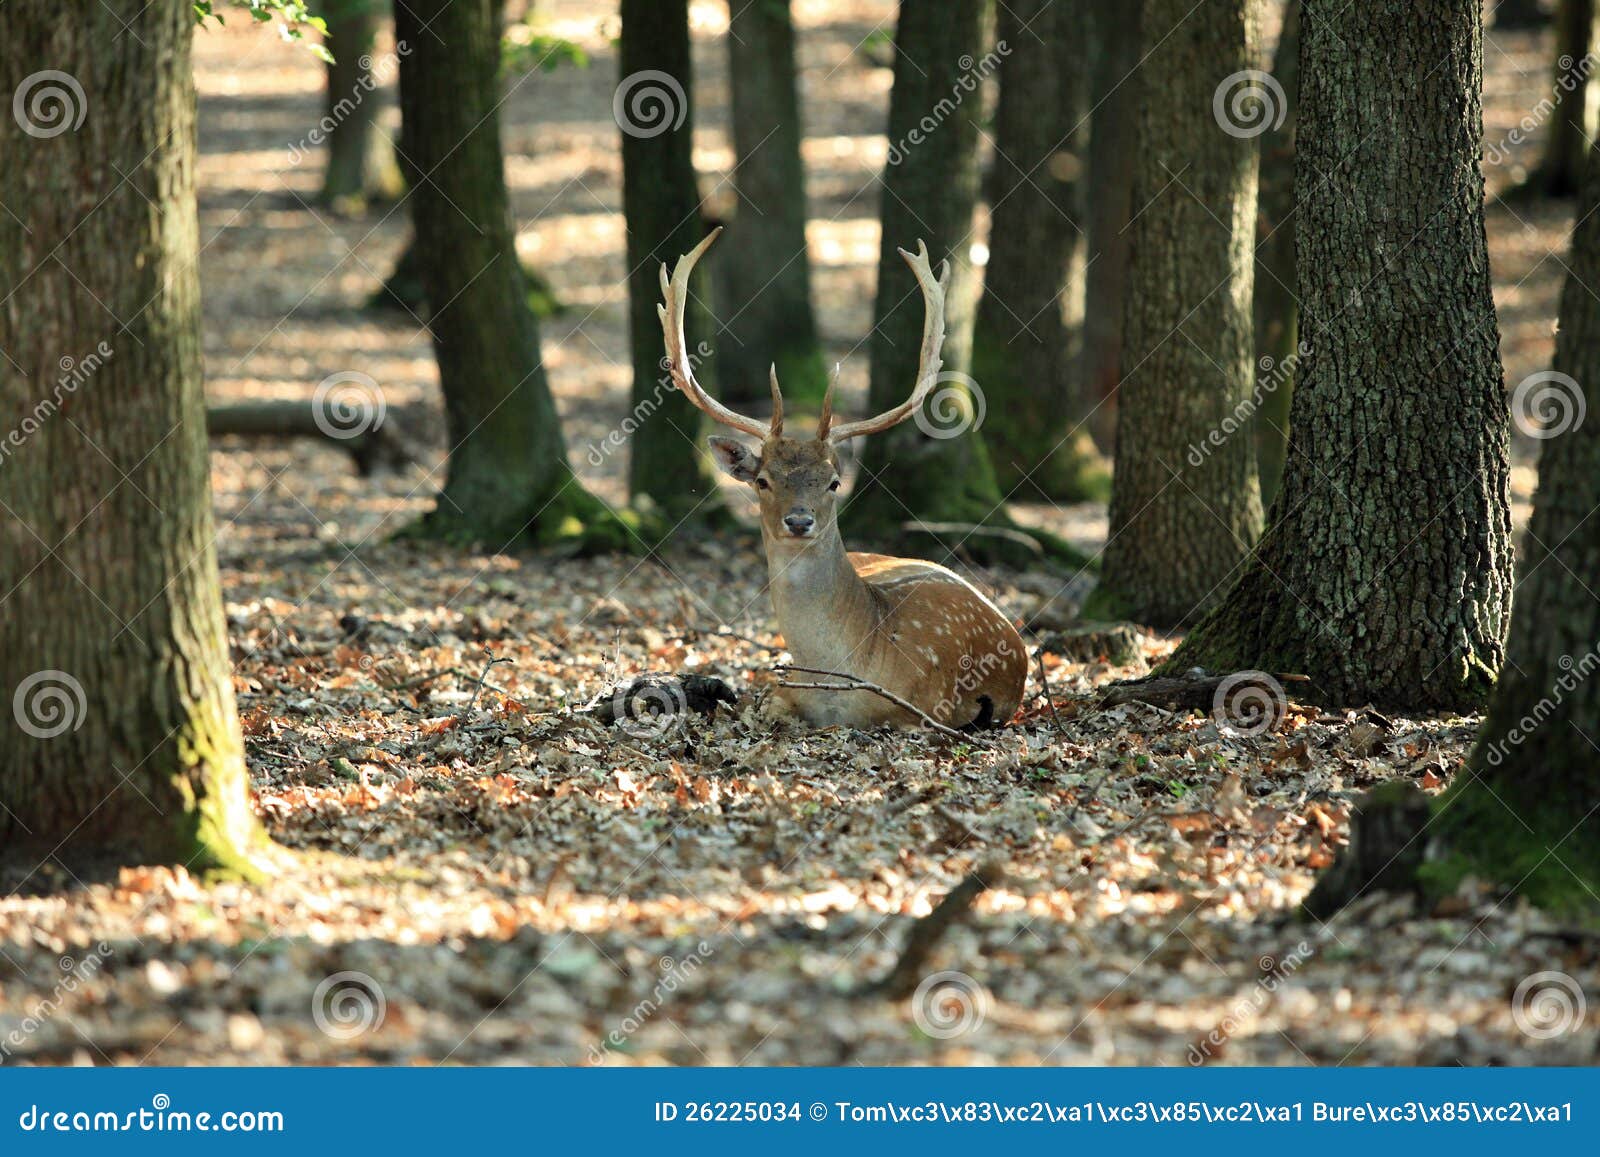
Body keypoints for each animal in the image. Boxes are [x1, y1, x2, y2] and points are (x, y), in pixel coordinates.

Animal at [656, 227, 1028, 730]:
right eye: (763, 481)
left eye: (833, 481)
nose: (799, 521)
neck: (843, 672)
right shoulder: (786, 685)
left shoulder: (924, 709)